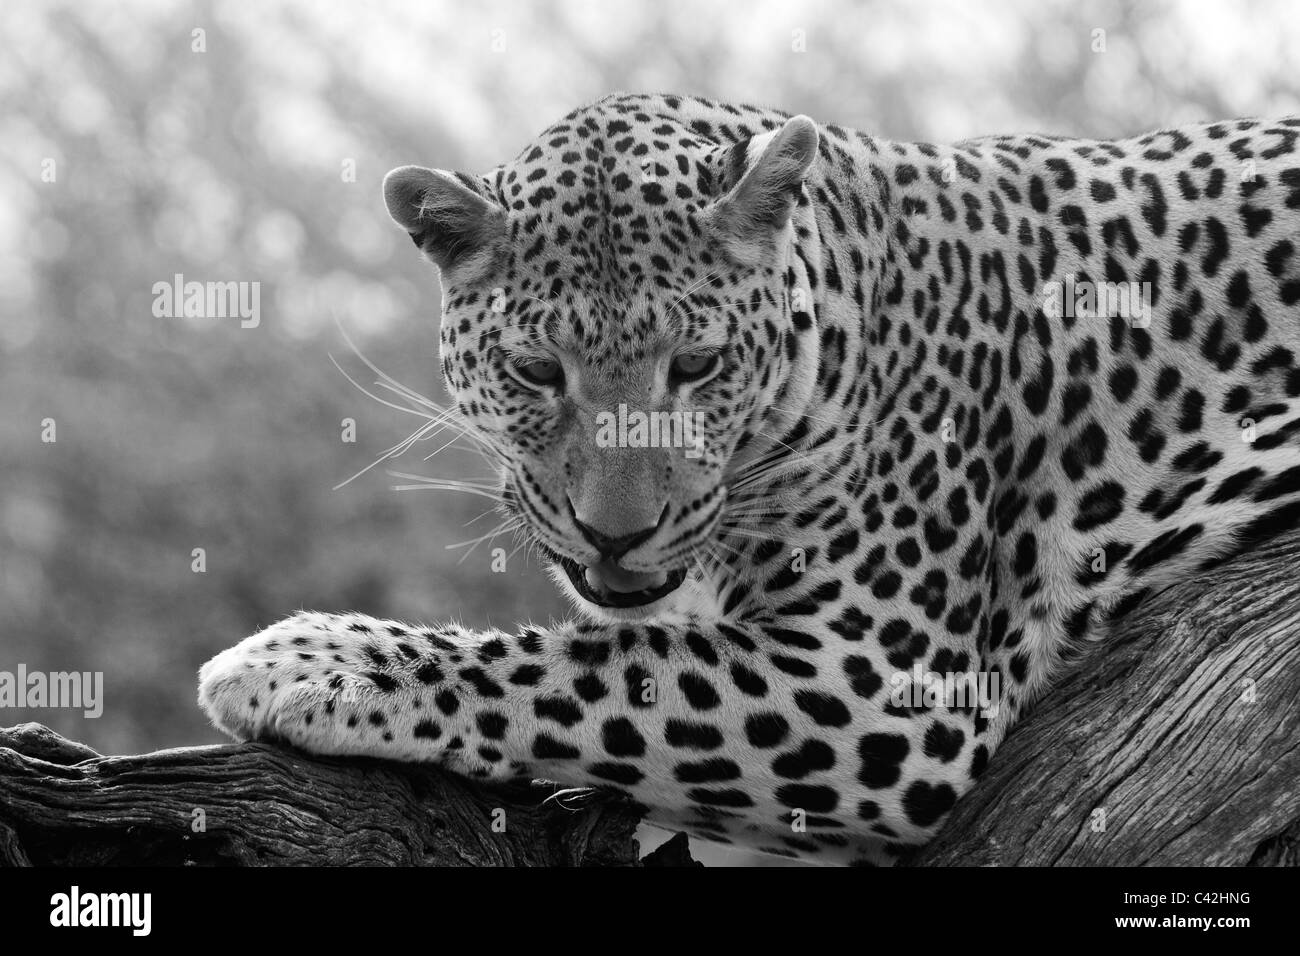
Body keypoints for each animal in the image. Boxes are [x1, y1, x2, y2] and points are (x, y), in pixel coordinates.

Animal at [199, 93, 1300, 865]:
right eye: (535, 372)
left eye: (696, 365)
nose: (616, 533)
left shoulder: (890, 683)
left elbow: (589, 667)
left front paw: (309, 657)